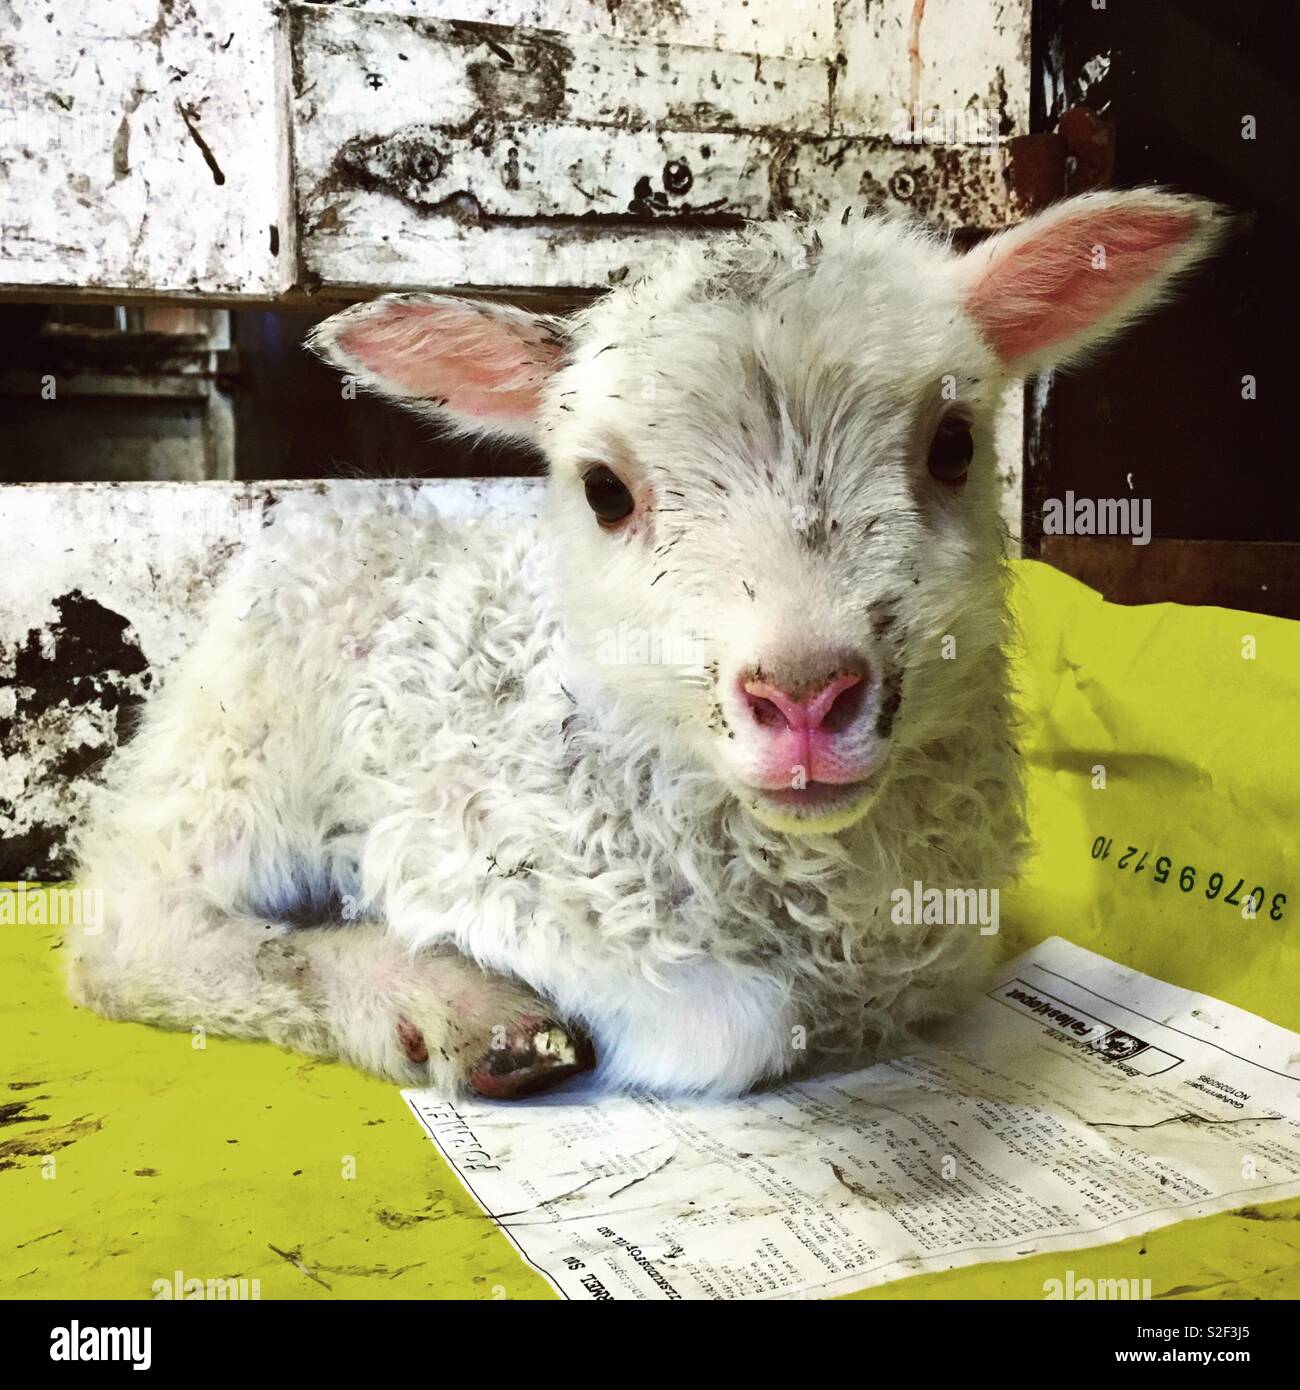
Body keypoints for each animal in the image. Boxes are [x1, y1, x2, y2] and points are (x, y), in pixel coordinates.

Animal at [67, 191, 1226, 1098]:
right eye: (605, 491)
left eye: (951, 447)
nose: (804, 697)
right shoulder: (456, 844)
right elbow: (732, 1024)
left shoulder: (949, 947)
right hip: (247, 741)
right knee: (129, 930)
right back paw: (443, 1011)